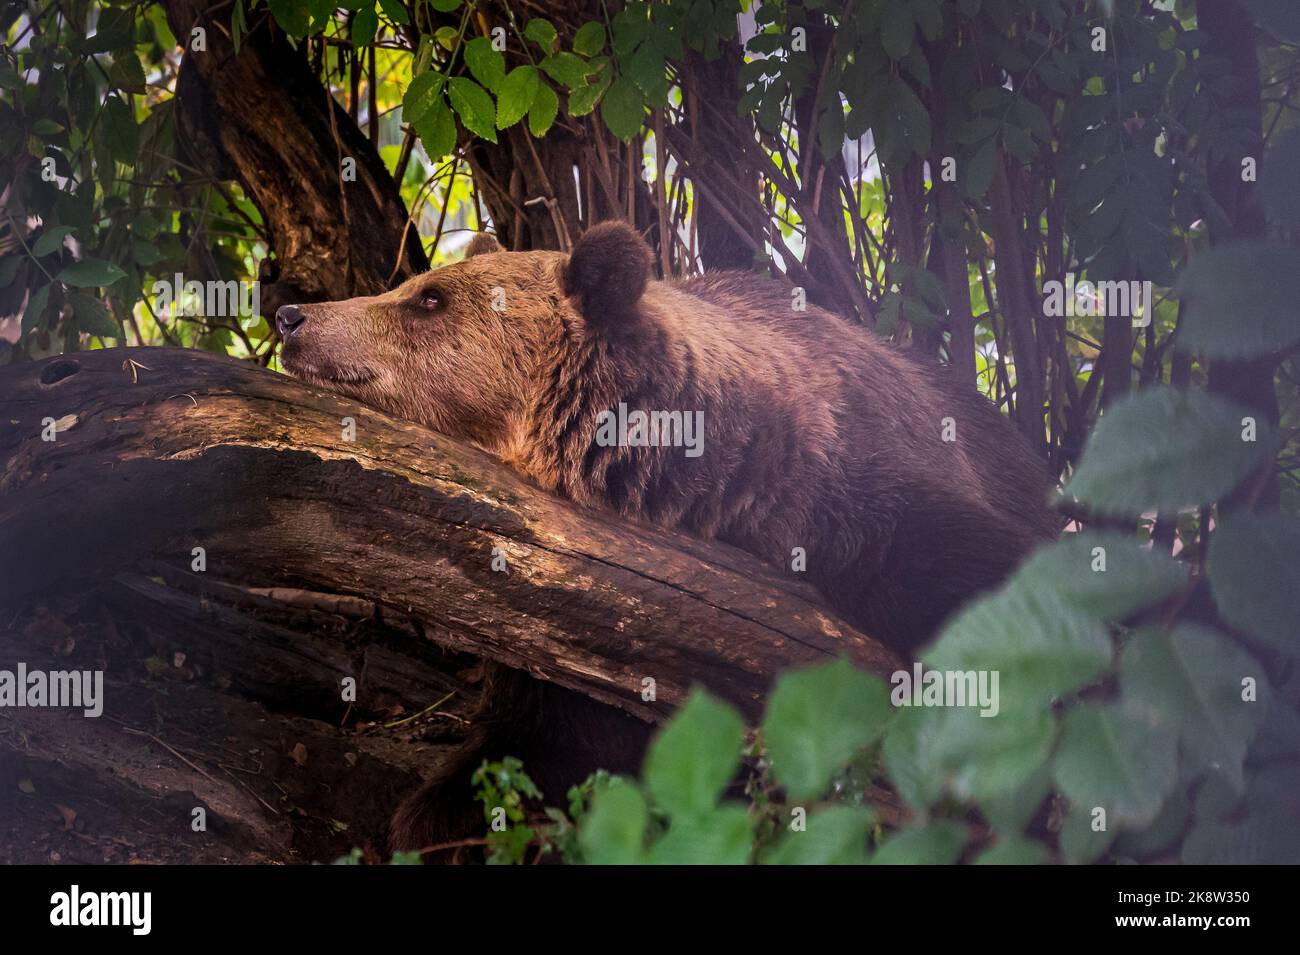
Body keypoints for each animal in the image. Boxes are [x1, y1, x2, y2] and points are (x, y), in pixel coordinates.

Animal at [276, 221, 1059, 855]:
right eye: (414, 285)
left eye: (429, 299)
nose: (291, 315)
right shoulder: (582, 629)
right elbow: (548, 732)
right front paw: (444, 810)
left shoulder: (866, 498)